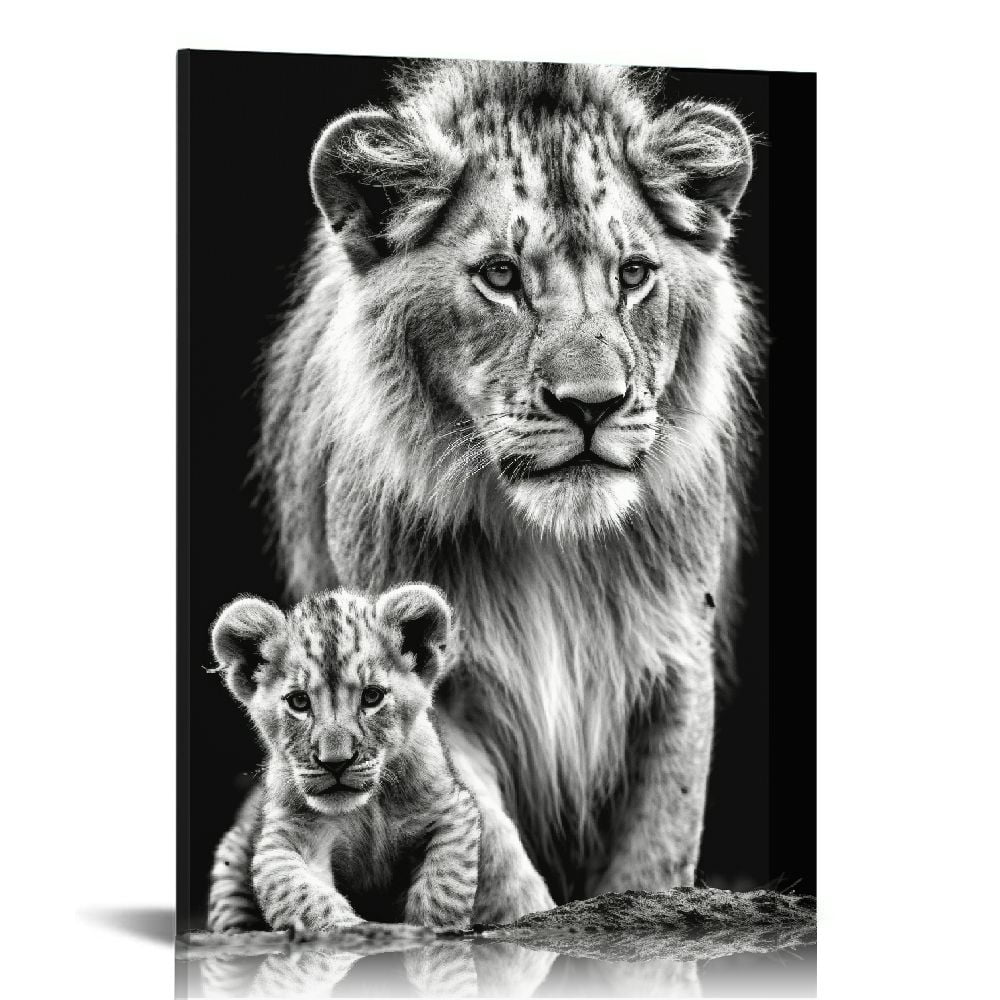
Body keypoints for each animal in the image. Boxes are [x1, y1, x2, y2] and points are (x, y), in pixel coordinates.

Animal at [256, 60, 765, 905]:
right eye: (500, 276)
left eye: (634, 275)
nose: (592, 404)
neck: (551, 540)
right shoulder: (424, 679)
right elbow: (489, 850)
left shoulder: (677, 657)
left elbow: (659, 844)